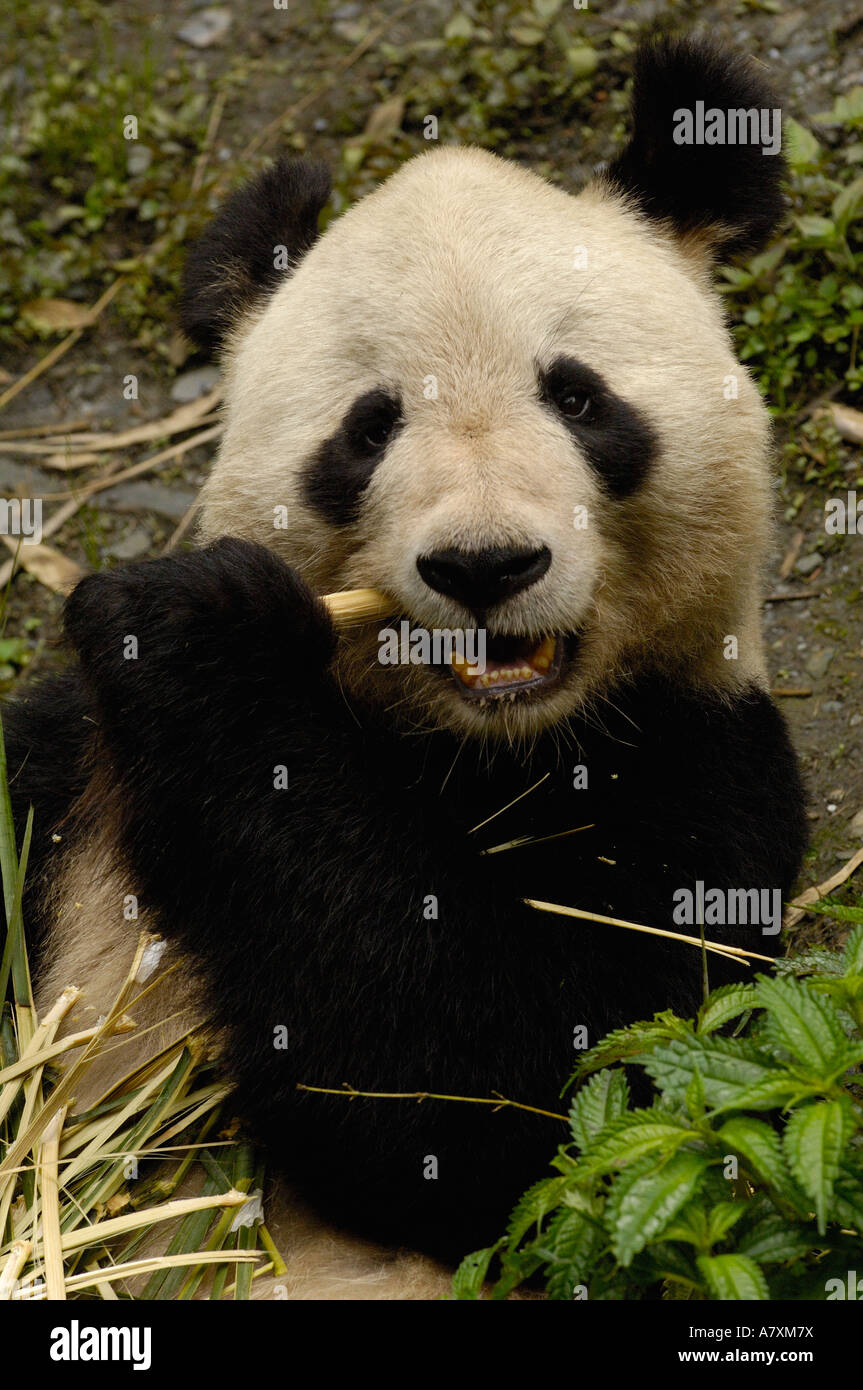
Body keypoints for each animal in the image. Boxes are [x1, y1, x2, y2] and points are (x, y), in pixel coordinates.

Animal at [5, 36, 807, 1299]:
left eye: (576, 395)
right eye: (369, 426)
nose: (486, 563)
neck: (486, 746)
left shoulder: (702, 772)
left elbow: (525, 1098)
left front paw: (204, 634)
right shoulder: (62, 780)